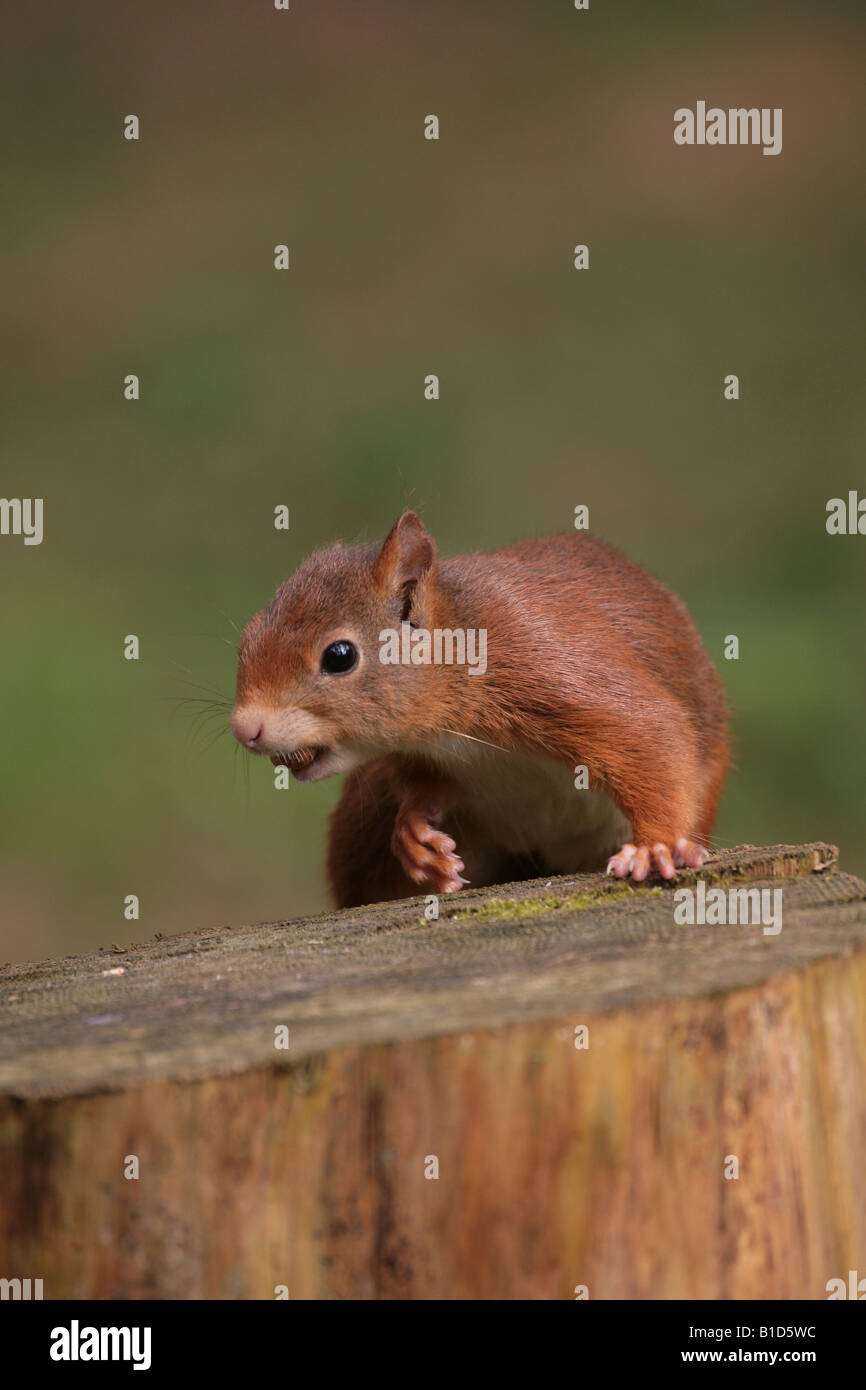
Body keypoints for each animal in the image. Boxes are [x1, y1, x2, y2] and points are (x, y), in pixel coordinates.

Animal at [231, 511, 729, 908]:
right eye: (245, 640)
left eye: (339, 656)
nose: (244, 729)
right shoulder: (423, 753)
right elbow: (419, 785)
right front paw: (412, 833)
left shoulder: (553, 667)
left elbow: (652, 735)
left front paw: (655, 847)